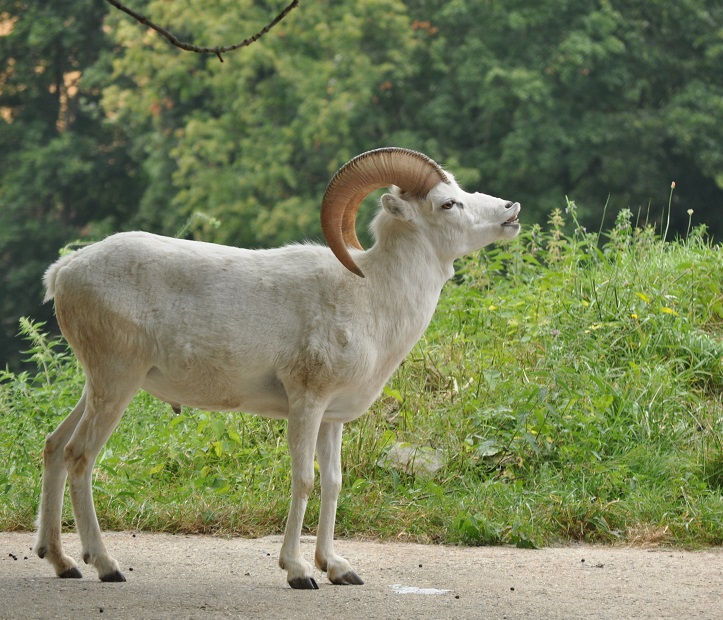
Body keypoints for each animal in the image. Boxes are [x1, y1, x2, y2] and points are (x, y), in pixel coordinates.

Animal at [34, 147, 521, 589]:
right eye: (447, 203)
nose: (511, 210)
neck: (370, 295)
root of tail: (63, 273)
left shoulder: (331, 419)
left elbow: (333, 483)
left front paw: (338, 569)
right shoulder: (306, 404)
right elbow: (304, 480)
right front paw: (299, 572)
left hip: (98, 386)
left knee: (55, 446)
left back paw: (62, 562)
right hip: (117, 382)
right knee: (80, 456)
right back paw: (105, 565)